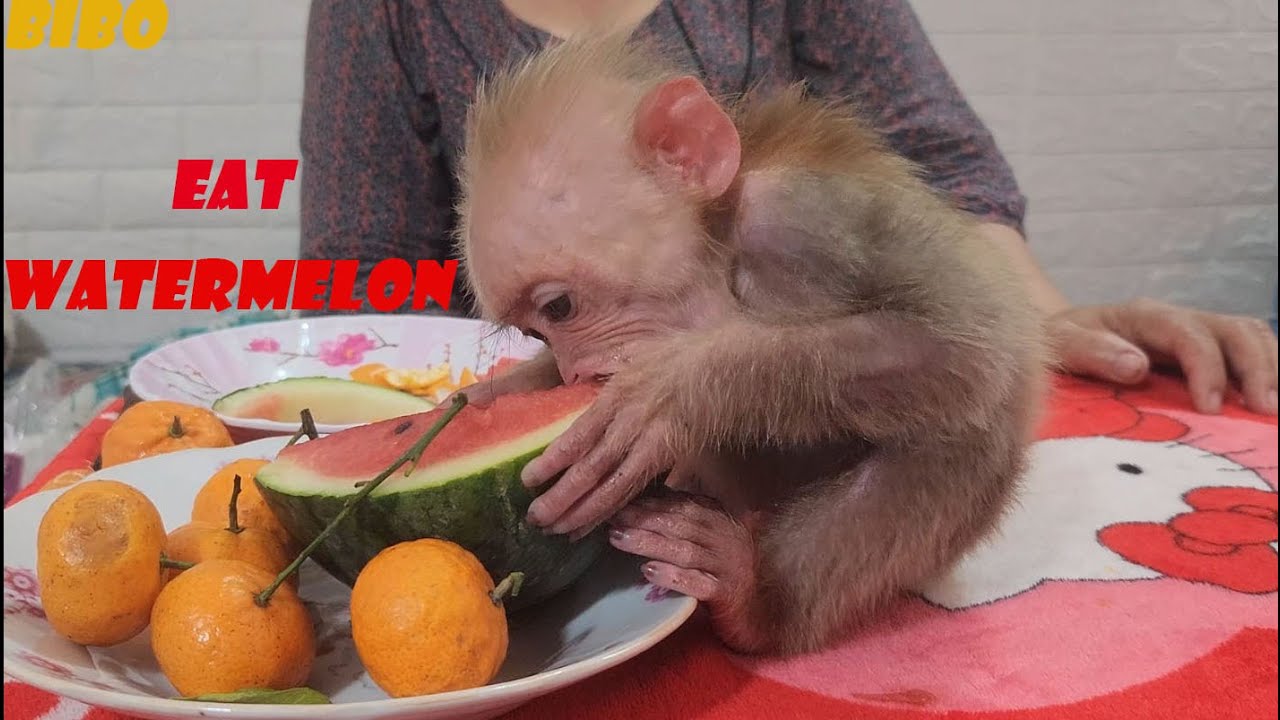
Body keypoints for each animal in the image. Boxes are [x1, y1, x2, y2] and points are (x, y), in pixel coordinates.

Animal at [450, 32, 1049, 655]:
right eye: (537, 334)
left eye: (558, 308)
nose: (571, 376)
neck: (721, 249)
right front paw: (482, 400)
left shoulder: (803, 216)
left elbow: (967, 347)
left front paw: (673, 393)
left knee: (960, 436)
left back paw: (752, 593)